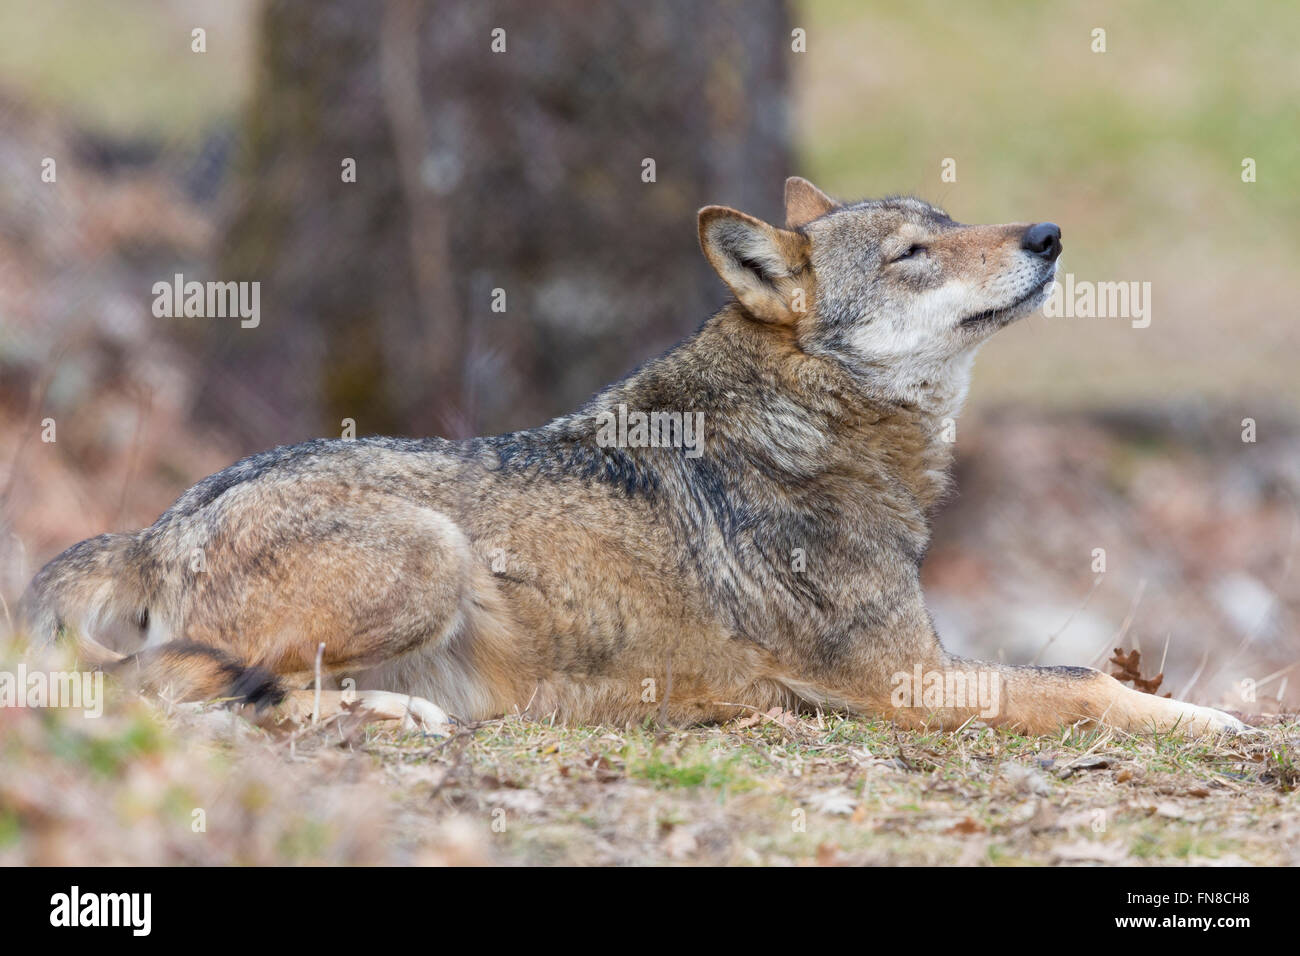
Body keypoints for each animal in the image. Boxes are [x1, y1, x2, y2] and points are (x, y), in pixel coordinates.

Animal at [19, 177, 1247, 736]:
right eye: (913, 254)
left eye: (949, 222)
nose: (1046, 236)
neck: (808, 430)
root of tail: (160, 524)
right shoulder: (907, 680)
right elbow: (1081, 682)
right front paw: (1207, 721)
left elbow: (1077, 672)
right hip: (433, 552)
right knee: (173, 689)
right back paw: (390, 718)